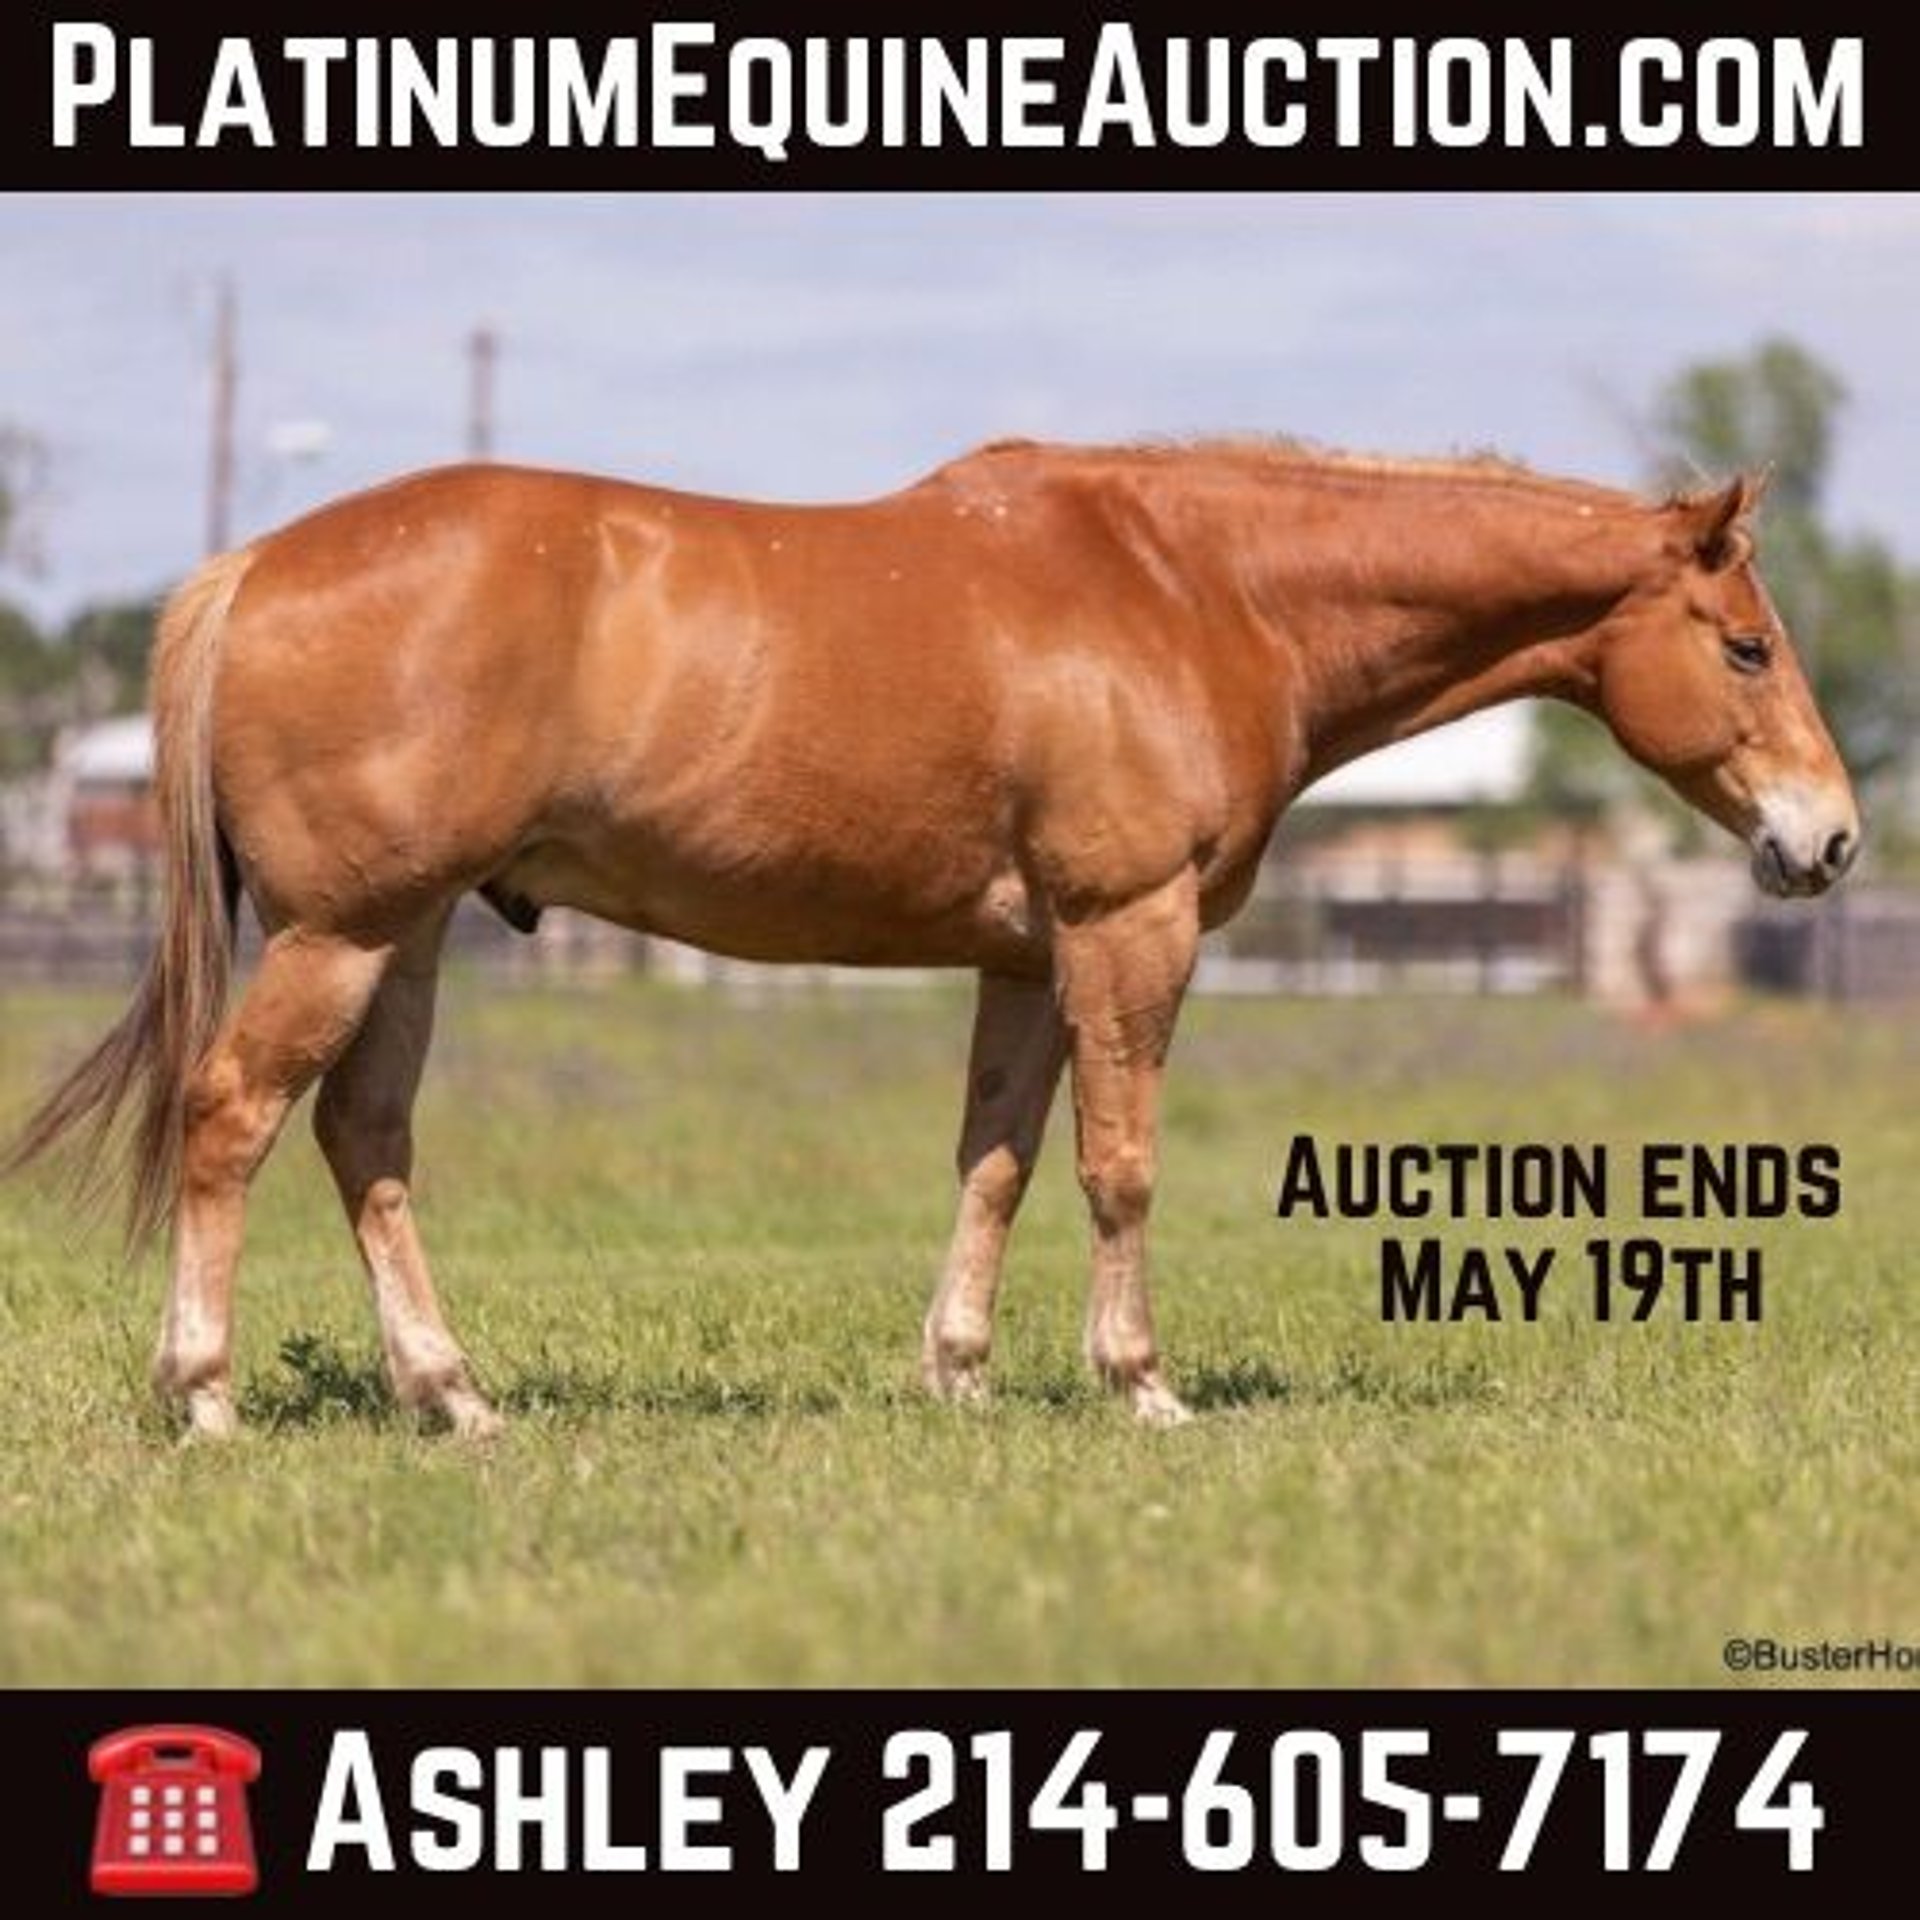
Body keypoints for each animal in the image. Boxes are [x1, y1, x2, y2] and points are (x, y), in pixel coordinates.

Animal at [5, 438, 1859, 1439]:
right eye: (1748, 645)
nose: (1829, 838)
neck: (1195, 587)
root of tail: (250, 569)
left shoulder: (1029, 958)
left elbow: (999, 1161)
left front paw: (960, 1377)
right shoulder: (1126, 930)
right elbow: (1118, 1166)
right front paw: (1140, 1384)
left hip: (406, 937)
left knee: (363, 1137)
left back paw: (455, 1398)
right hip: (346, 930)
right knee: (234, 1118)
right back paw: (207, 1392)